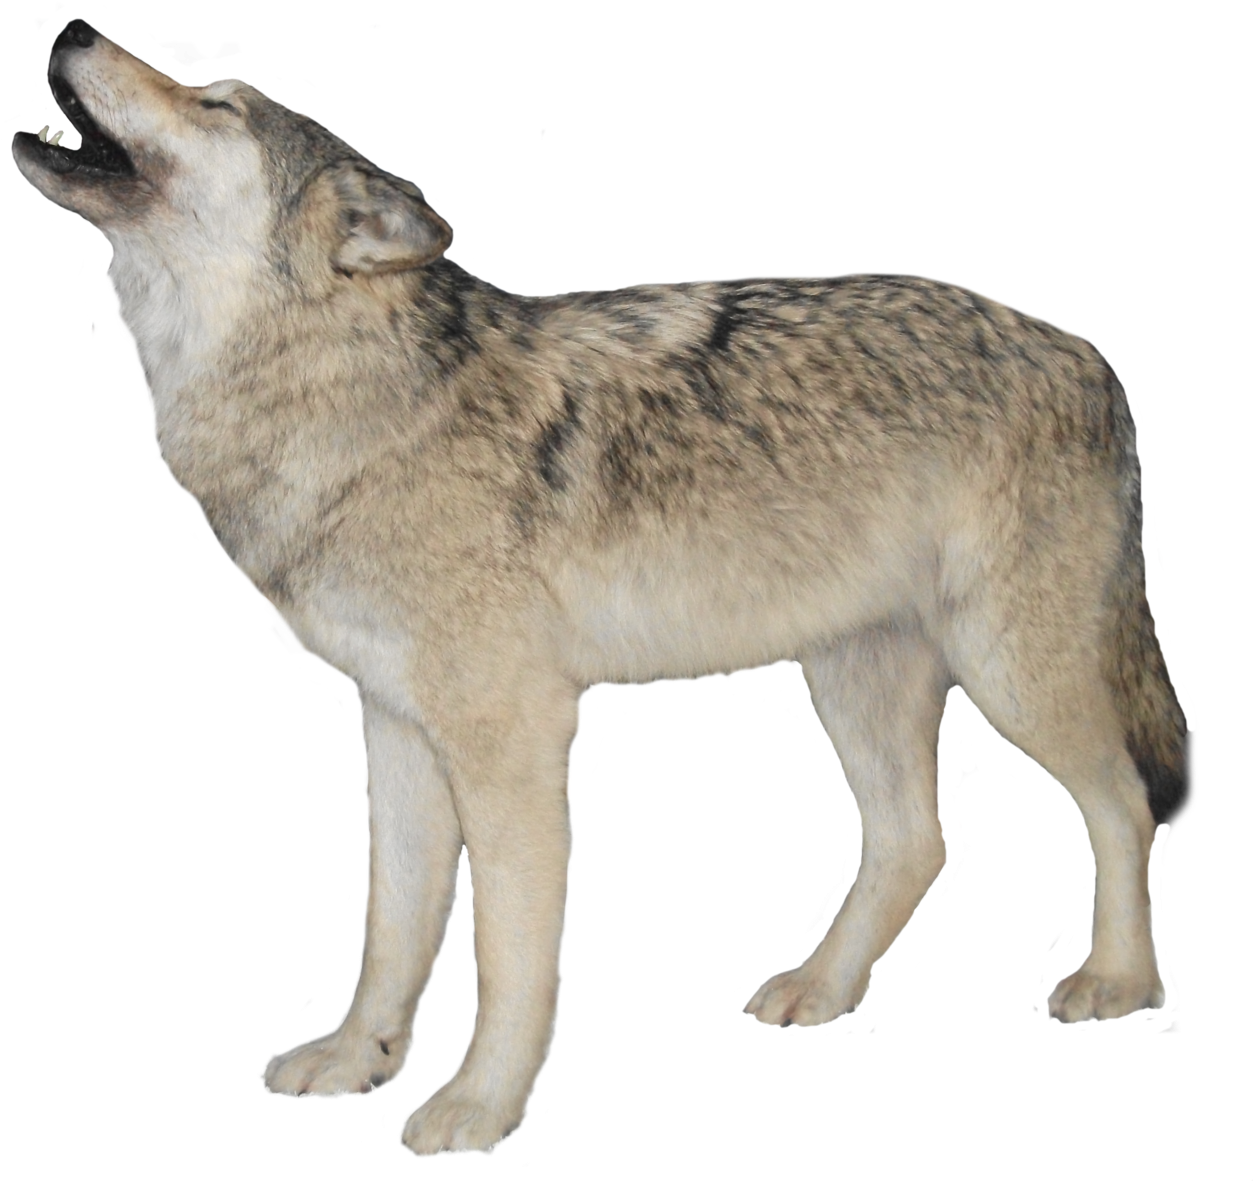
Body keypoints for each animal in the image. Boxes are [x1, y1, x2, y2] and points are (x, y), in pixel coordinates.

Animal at [15, 17, 1193, 1158]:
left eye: (217, 100)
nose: (68, 23)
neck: (351, 404)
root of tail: (1086, 355)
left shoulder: (514, 739)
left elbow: (505, 956)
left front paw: (475, 1109)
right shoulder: (394, 725)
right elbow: (392, 927)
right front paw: (358, 1061)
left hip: (1011, 676)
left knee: (1123, 805)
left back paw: (1119, 983)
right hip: (851, 682)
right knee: (915, 840)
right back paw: (820, 988)